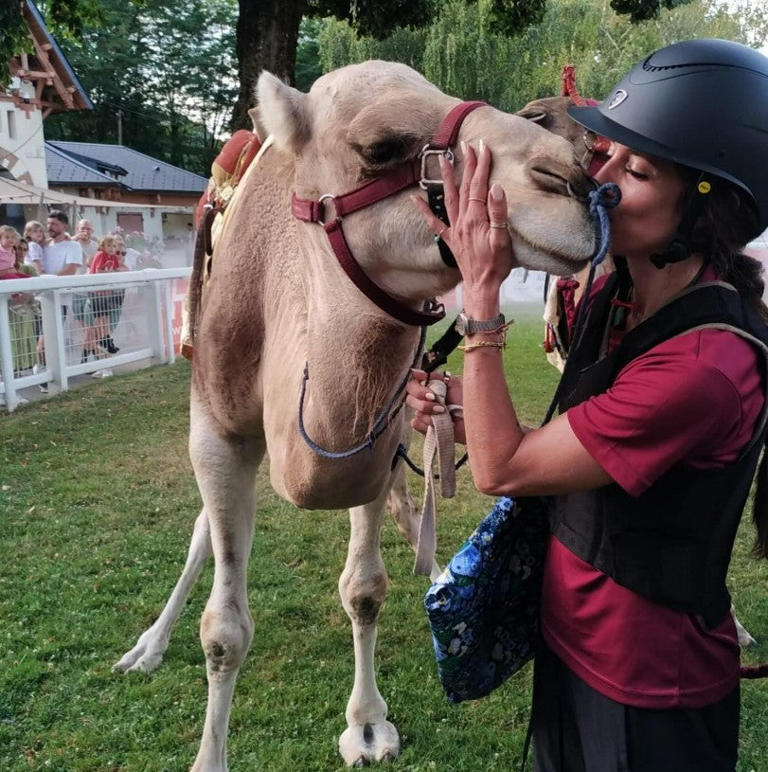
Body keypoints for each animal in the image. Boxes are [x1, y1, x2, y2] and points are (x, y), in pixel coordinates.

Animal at [114, 60, 599, 770]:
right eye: (381, 147)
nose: (573, 182)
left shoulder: (380, 435)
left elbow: (364, 589)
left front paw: (367, 725)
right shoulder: (218, 430)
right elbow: (224, 630)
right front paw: (209, 755)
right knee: (205, 528)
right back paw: (148, 644)